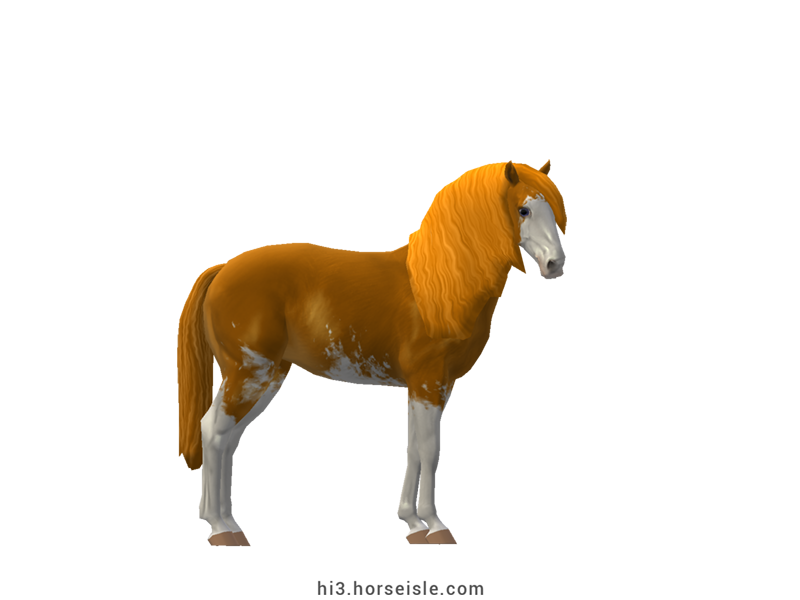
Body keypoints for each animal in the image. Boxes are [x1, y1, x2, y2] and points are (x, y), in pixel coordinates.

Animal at [177, 160, 567, 543]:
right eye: (524, 209)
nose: (556, 263)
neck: (436, 289)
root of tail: (223, 271)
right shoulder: (429, 381)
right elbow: (429, 448)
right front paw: (434, 523)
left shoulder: (425, 386)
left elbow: (413, 446)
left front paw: (411, 520)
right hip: (246, 373)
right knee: (212, 431)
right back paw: (218, 526)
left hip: (258, 378)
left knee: (221, 437)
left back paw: (222, 520)